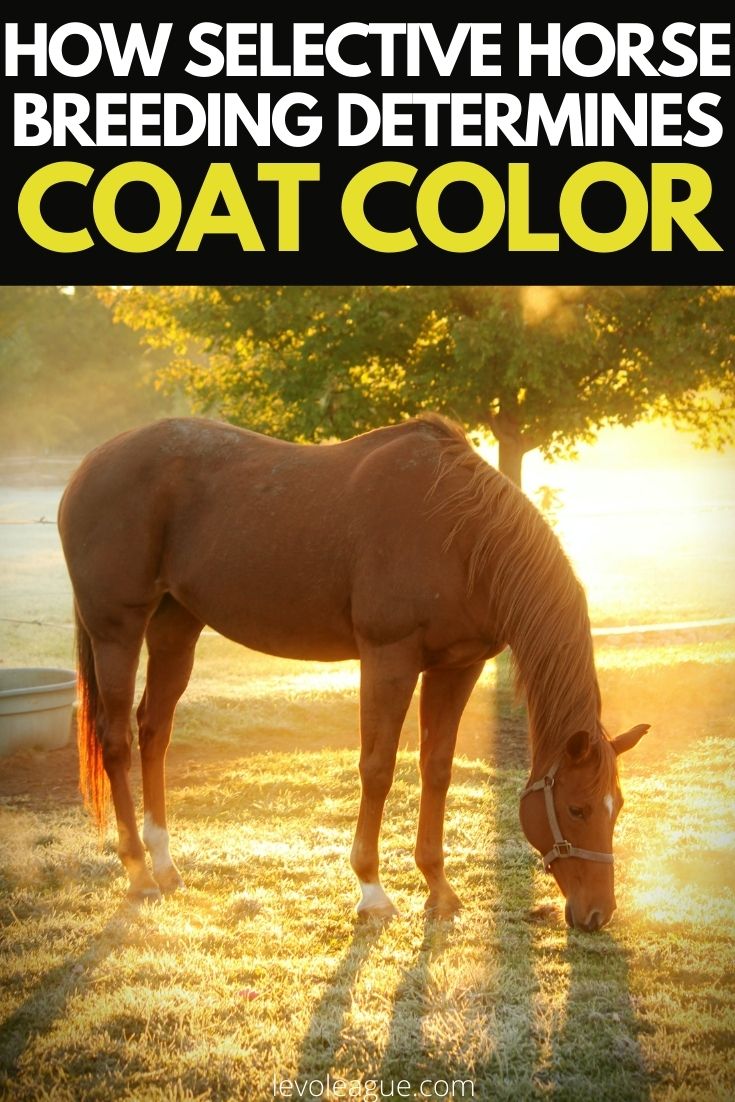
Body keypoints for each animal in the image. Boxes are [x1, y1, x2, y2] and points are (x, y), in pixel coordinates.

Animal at [58, 414, 648, 932]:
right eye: (576, 808)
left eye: (615, 808)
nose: (598, 914)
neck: (459, 532)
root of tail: (88, 466)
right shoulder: (389, 658)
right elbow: (378, 768)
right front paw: (372, 892)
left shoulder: (458, 666)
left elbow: (437, 769)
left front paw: (439, 889)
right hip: (117, 629)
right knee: (116, 740)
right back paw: (138, 873)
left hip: (176, 626)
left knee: (154, 730)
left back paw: (164, 864)